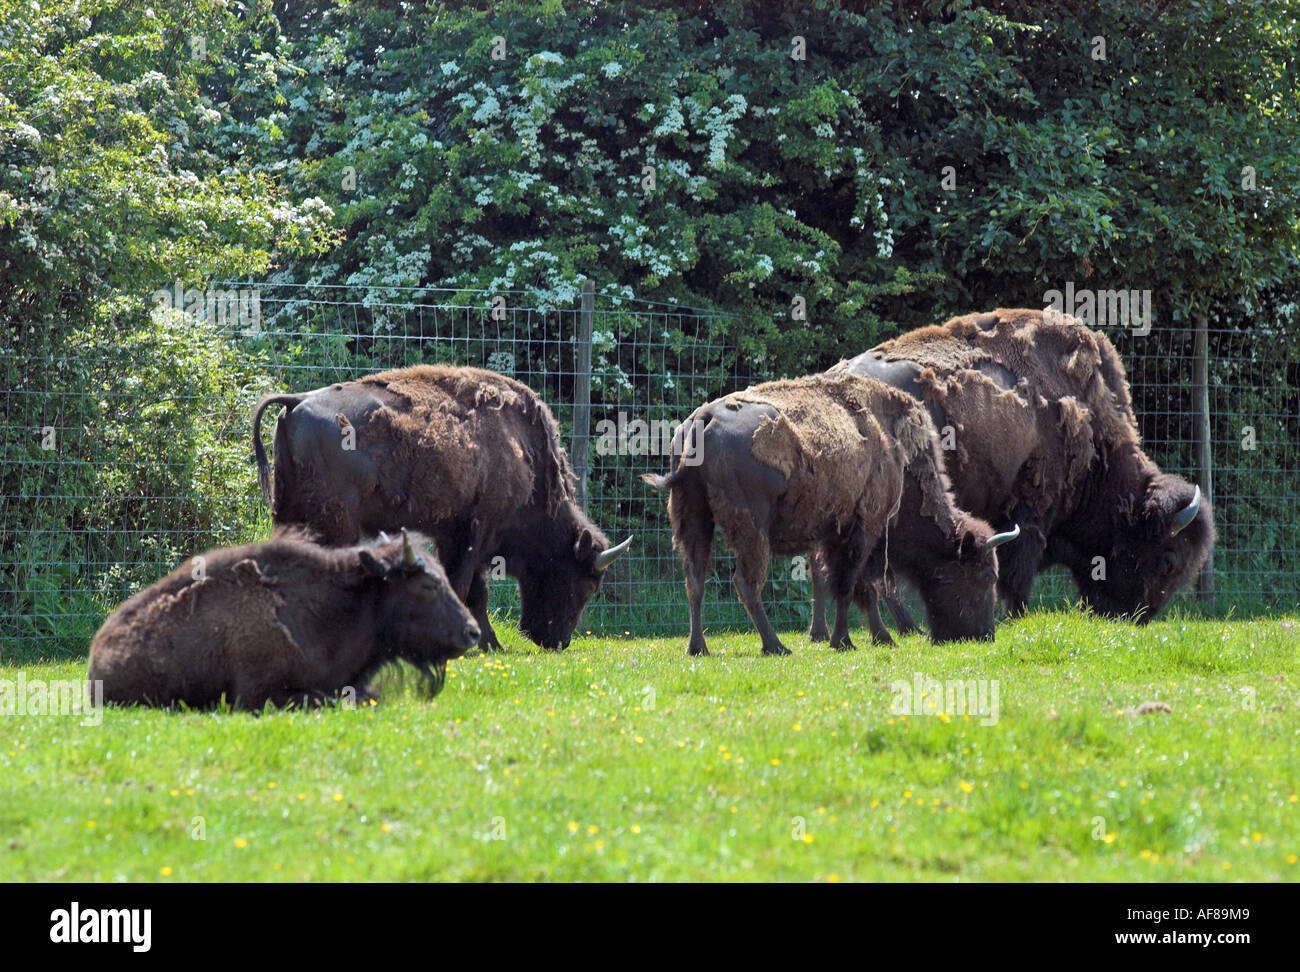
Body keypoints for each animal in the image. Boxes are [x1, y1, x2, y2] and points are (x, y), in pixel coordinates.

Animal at [253, 365, 631, 651]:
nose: (557, 642)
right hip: (336, 522)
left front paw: (490, 644)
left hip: (291, 514)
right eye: (586, 584)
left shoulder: (453, 534)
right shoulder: (477, 531)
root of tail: (297, 401)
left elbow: (473, 590)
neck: (523, 449)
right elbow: (467, 588)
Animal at [644, 373, 1016, 655]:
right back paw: (776, 646)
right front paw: (858, 640)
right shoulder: (868, 526)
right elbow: (859, 583)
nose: (985, 634)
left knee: (695, 579)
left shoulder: (832, 534)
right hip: (752, 528)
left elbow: (843, 582)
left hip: (694, 519)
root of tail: (702, 420)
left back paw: (698, 648)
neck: (897, 452)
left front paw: (861, 638)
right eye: (985, 576)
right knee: (746, 582)